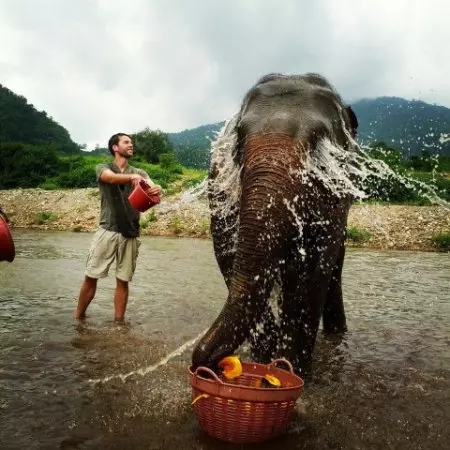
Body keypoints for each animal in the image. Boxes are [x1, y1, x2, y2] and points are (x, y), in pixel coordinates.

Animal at [192, 72, 360, 378]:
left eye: (319, 141)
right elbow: (229, 251)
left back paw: (336, 335)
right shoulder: (220, 182)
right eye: (239, 137)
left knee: (332, 265)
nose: (208, 364)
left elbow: (315, 265)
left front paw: (290, 370)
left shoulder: (338, 192)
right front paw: (264, 359)